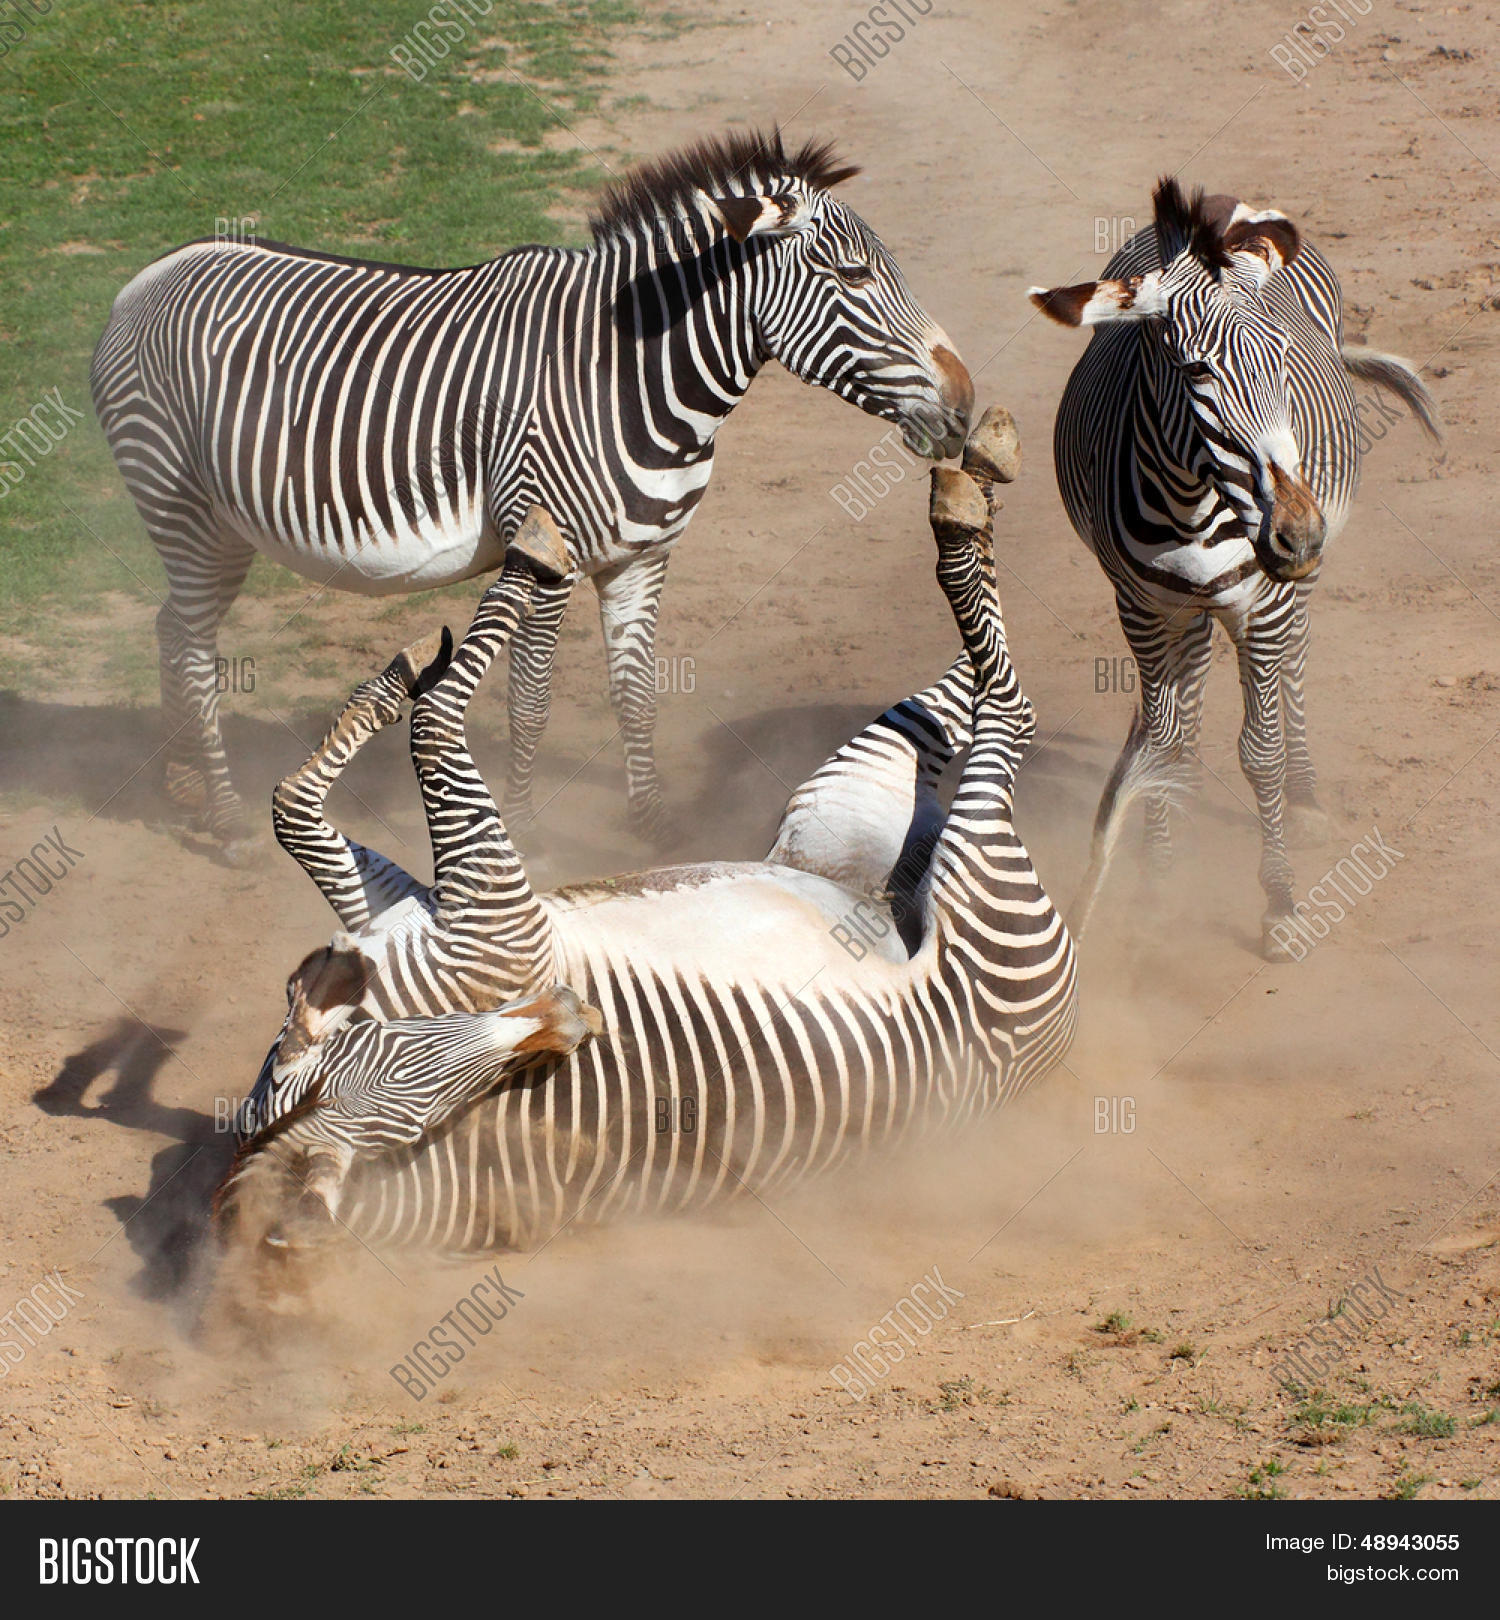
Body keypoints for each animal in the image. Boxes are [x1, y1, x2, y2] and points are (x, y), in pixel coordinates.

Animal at [90, 129, 973, 860]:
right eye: (853, 274)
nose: (966, 404)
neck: (628, 374)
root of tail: (146, 276)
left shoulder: (643, 557)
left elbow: (637, 695)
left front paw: (656, 830)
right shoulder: (547, 552)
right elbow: (531, 701)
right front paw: (526, 831)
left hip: (218, 529)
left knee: (172, 628)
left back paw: (179, 789)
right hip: (181, 506)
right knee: (194, 648)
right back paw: (227, 821)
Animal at [216, 410, 1095, 1262]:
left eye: (412, 1059)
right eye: (428, 1086)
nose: (571, 1013)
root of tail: (1056, 1038)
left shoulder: (433, 915)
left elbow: (308, 802)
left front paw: (401, 673)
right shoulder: (486, 923)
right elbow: (404, 746)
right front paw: (521, 568)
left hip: (845, 812)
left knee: (974, 694)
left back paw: (982, 469)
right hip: (951, 869)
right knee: (1006, 707)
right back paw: (965, 502)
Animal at [1028, 178, 1439, 955]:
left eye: (1280, 356)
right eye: (1195, 370)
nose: (1298, 534)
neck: (1191, 504)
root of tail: (1220, 203)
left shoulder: (1262, 604)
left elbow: (1260, 751)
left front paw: (1279, 903)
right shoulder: (1143, 609)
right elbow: (1164, 751)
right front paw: (1159, 885)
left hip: (1284, 596)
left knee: (1296, 663)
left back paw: (1305, 800)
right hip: (1185, 612)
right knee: (1186, 708)